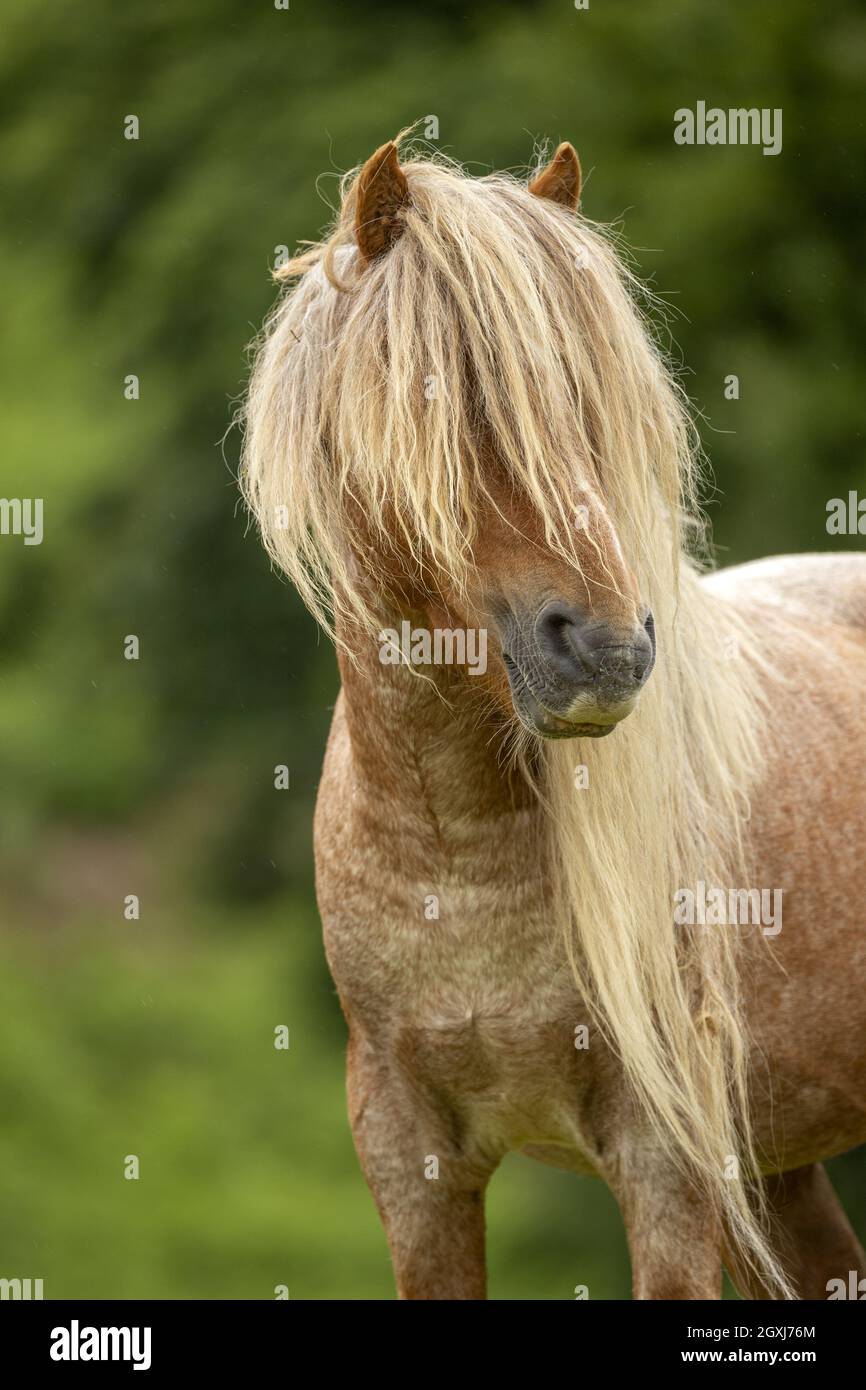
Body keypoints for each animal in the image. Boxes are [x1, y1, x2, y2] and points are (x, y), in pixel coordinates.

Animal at [241, 136, 866, 1299]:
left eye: (590, 405)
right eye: (444, 403)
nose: (609, 652)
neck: (455, 854)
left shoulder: (663, 1160)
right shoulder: (412, 1163)